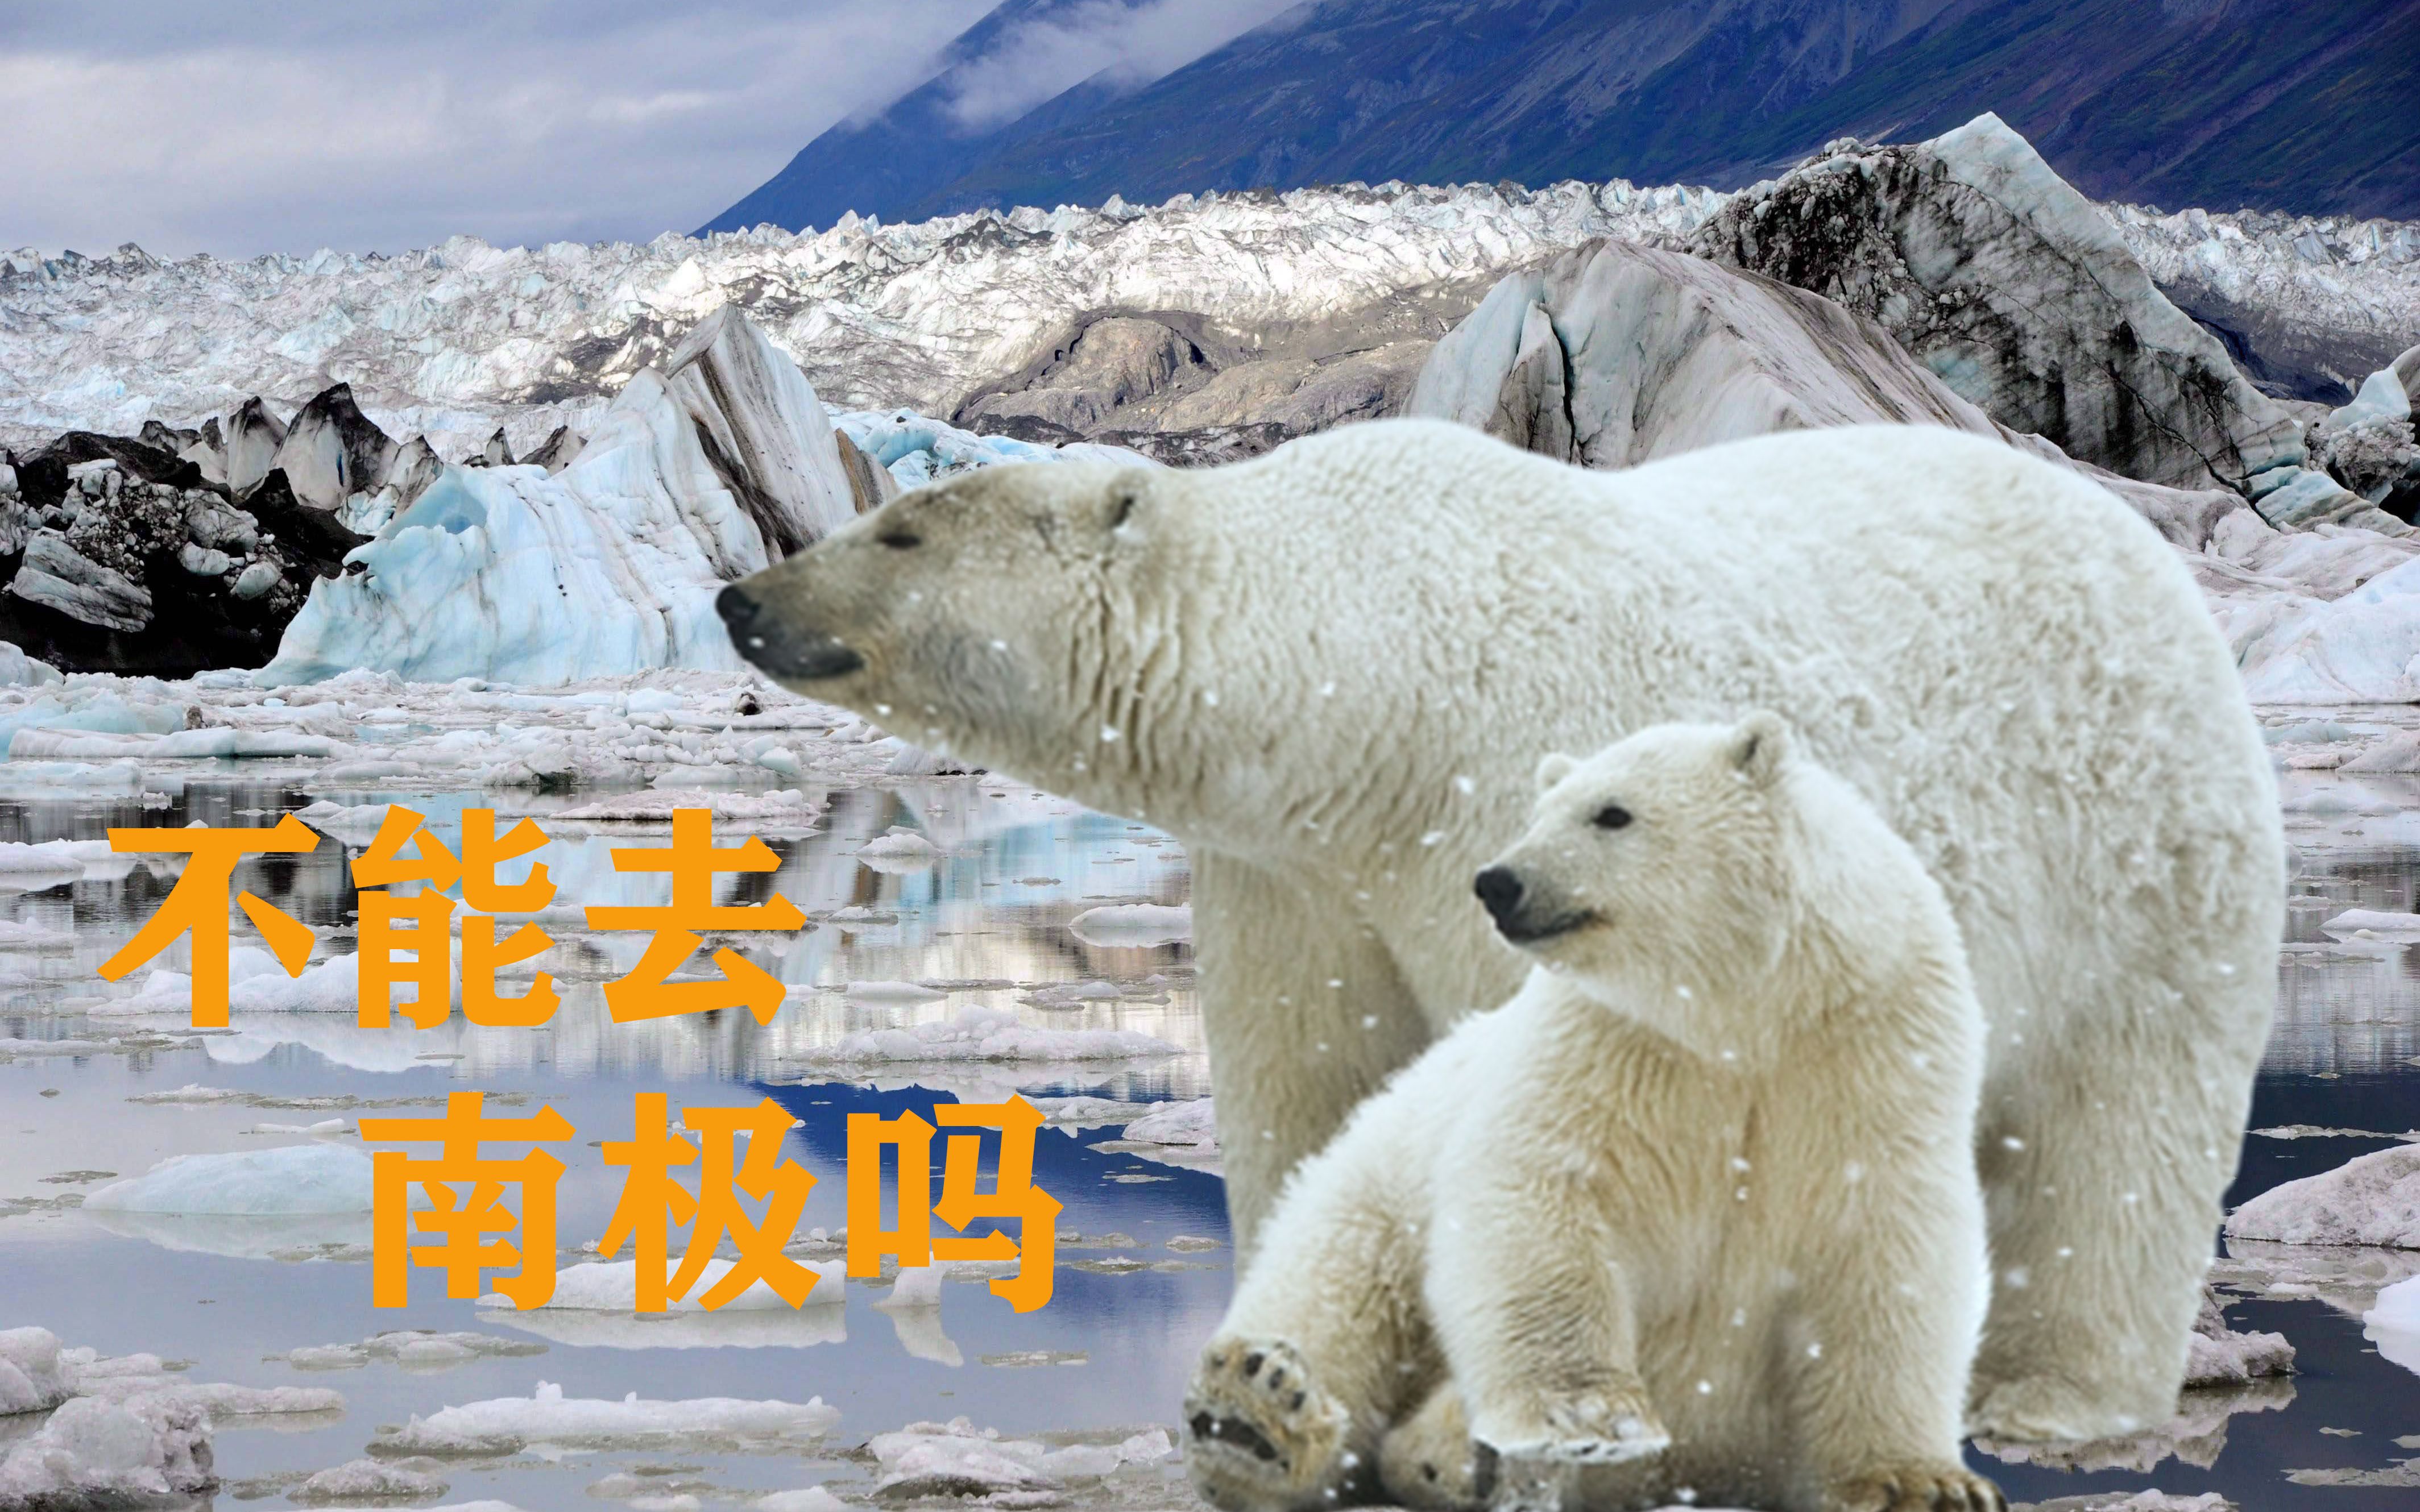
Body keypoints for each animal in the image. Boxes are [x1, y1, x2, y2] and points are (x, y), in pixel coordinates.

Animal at [1180, 715, 2000, 1512]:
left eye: (1612, 813)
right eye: (1536, 812)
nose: (1497, 881)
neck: (1745, 1012)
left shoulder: (1872, 1051)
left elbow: (1887, 1249)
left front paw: (1921, 1482)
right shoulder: (1607, 1042)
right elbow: (1543, 1186)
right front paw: (1588, 1416)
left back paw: (1444, 1452)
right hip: (1370, 1195)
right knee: (1333, 1293)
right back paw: (1258, 1413)